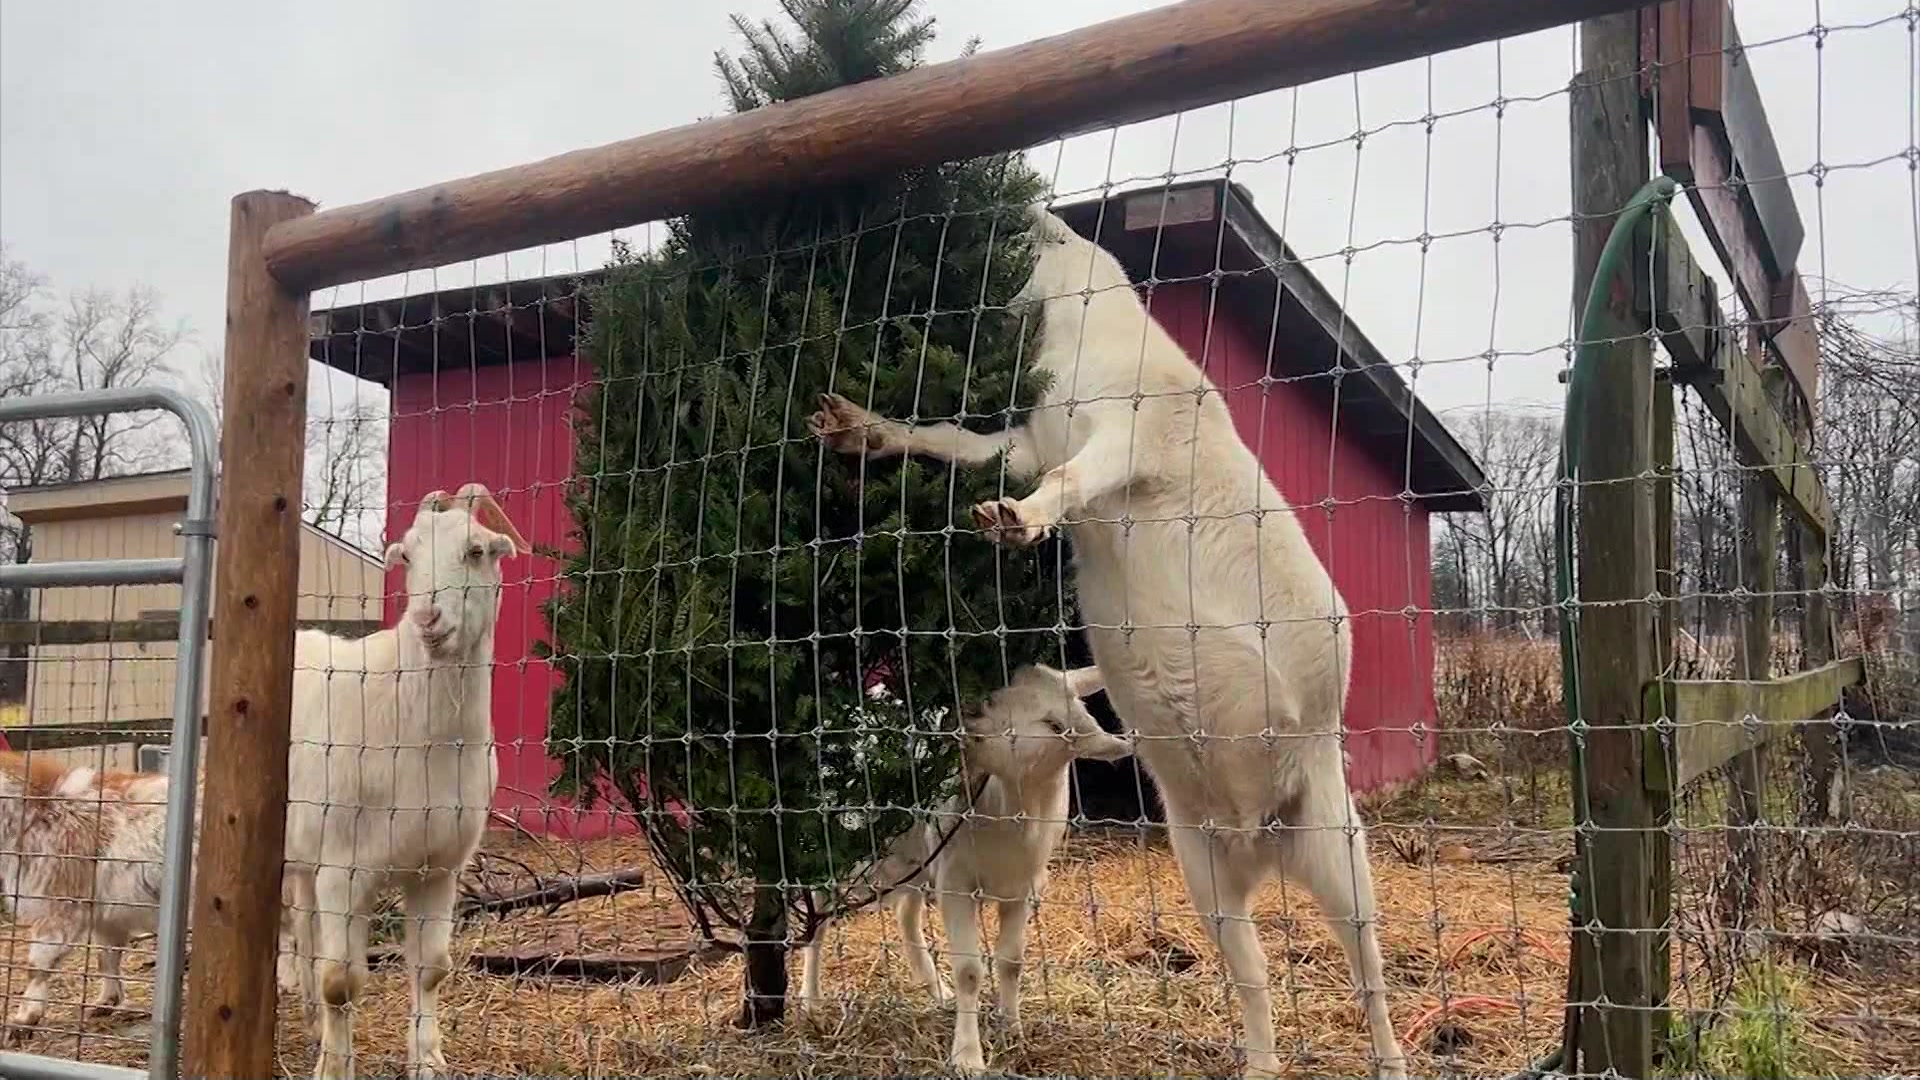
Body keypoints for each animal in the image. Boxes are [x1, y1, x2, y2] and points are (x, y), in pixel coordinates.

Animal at [279, 483, 528, 1080]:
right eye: (408, 557)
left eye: (476, 551)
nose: (428, 617)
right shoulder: (344, 868)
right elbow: (341, 980)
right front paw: (334, 1067)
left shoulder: (438, 868)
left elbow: (430, 968)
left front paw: (429, 1059)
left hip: (308, 853)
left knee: (303, 923)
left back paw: (310, 1020)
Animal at [797, 663, 1131, 1073]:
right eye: (998, 690)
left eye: (1054, 724)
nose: (969, 716)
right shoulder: (956, 880)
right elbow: (970, 971)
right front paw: (968, 1057)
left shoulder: (1022, 886)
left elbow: (1011, 962)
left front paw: (1012, 1031)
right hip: (837, 847)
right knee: (818, 918)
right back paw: (811, 1000)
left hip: (917, 857)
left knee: (905, 915)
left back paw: (936, 989)